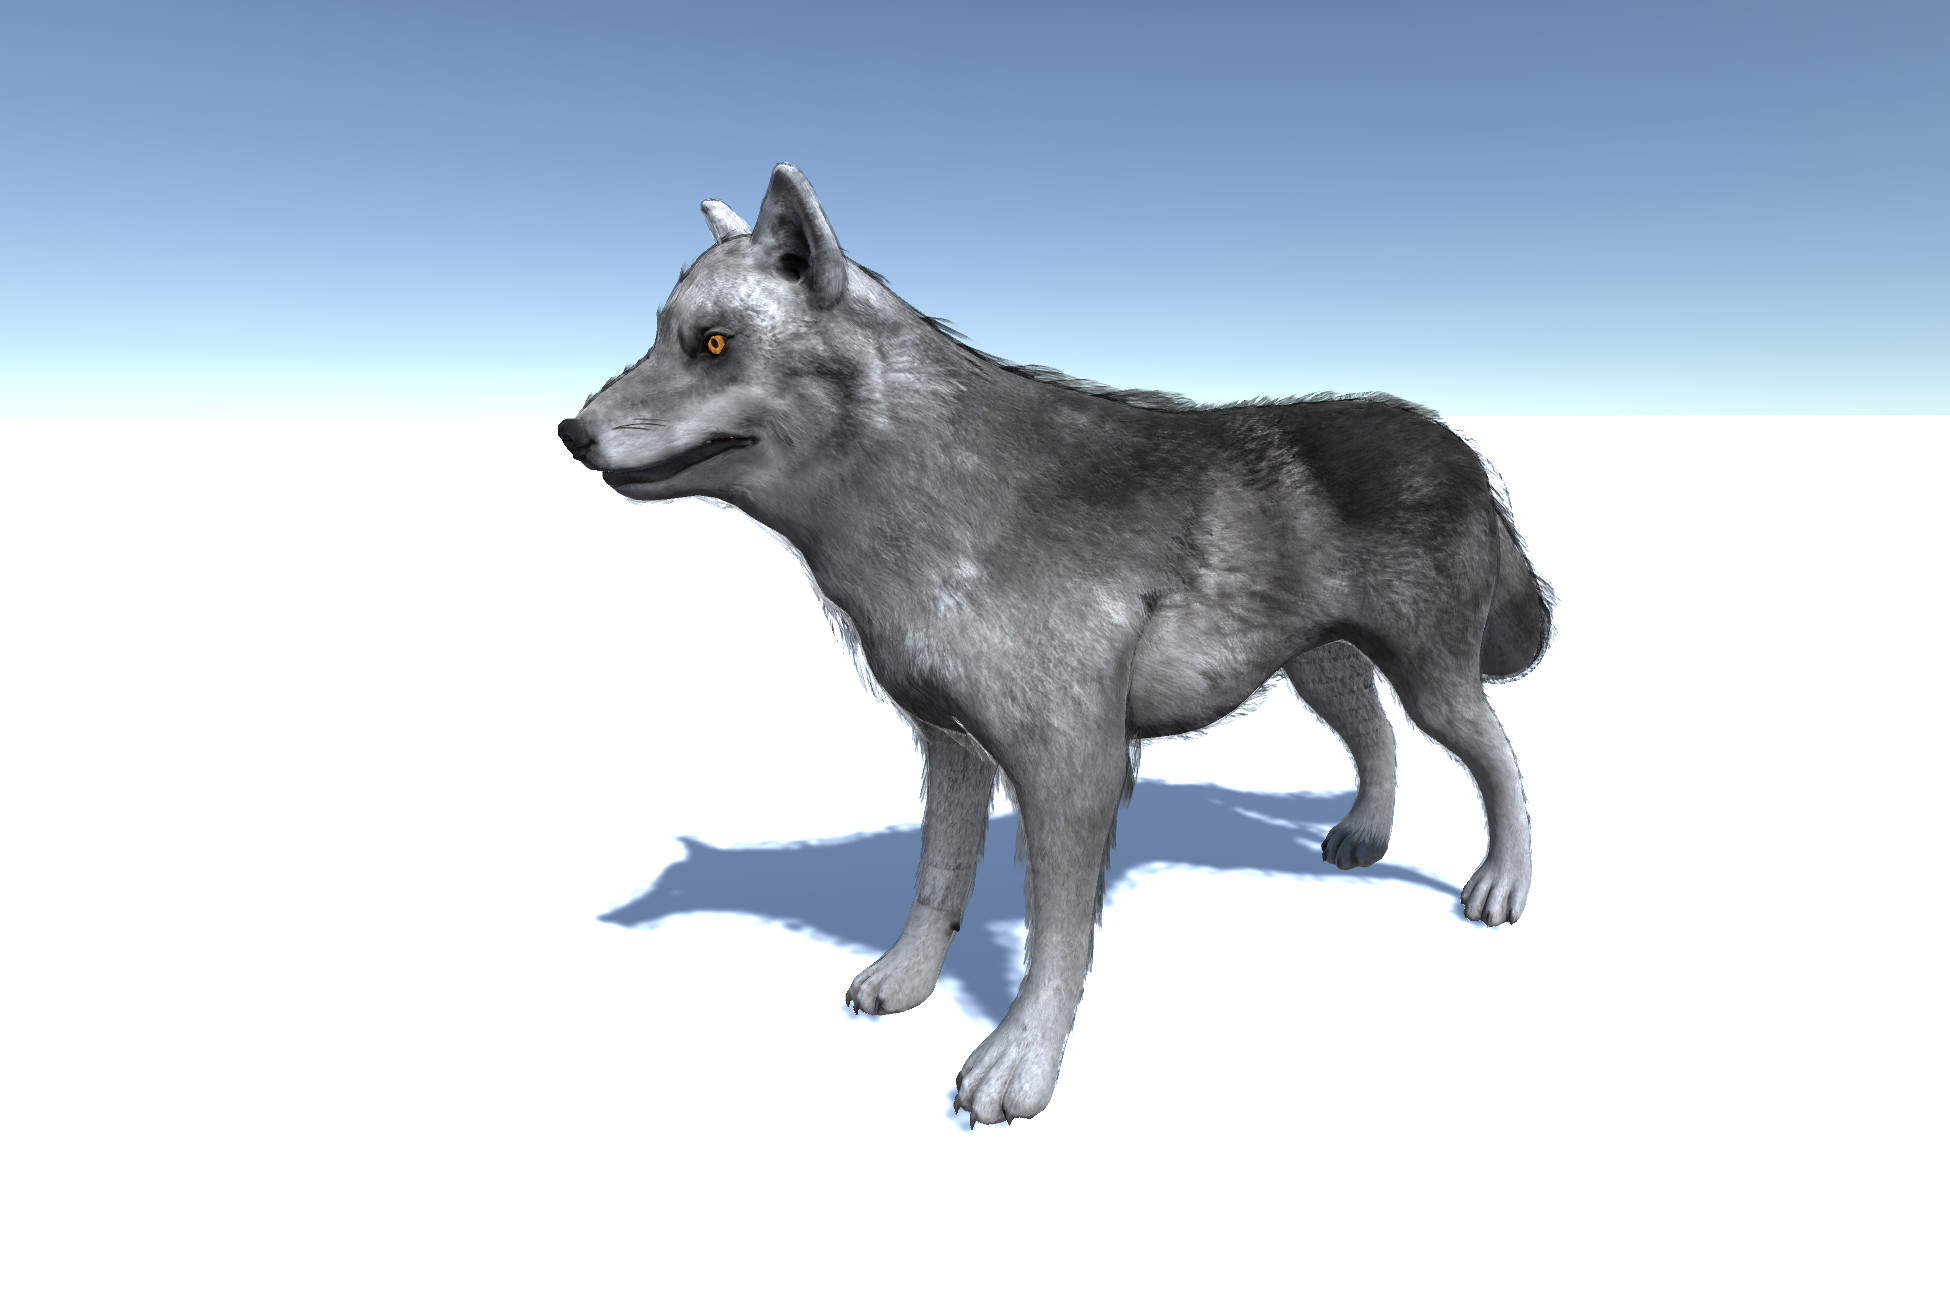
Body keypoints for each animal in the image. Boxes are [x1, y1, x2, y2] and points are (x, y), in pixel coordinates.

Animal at [558, 164, 1553, 1125]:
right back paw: (1362, 836)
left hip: (1430, 680)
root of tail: (1451, 440)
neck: (930, 510)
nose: (572, 431)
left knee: (1498, 756)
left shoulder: (1074, 766)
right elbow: (937, 881)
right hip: (1321, 669)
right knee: (1380, 738)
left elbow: (1058, 936)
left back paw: (1503, 886)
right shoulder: (952, 746)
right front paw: (907, 980)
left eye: (713, 345)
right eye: (663, 335)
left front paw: (1020, 1067)